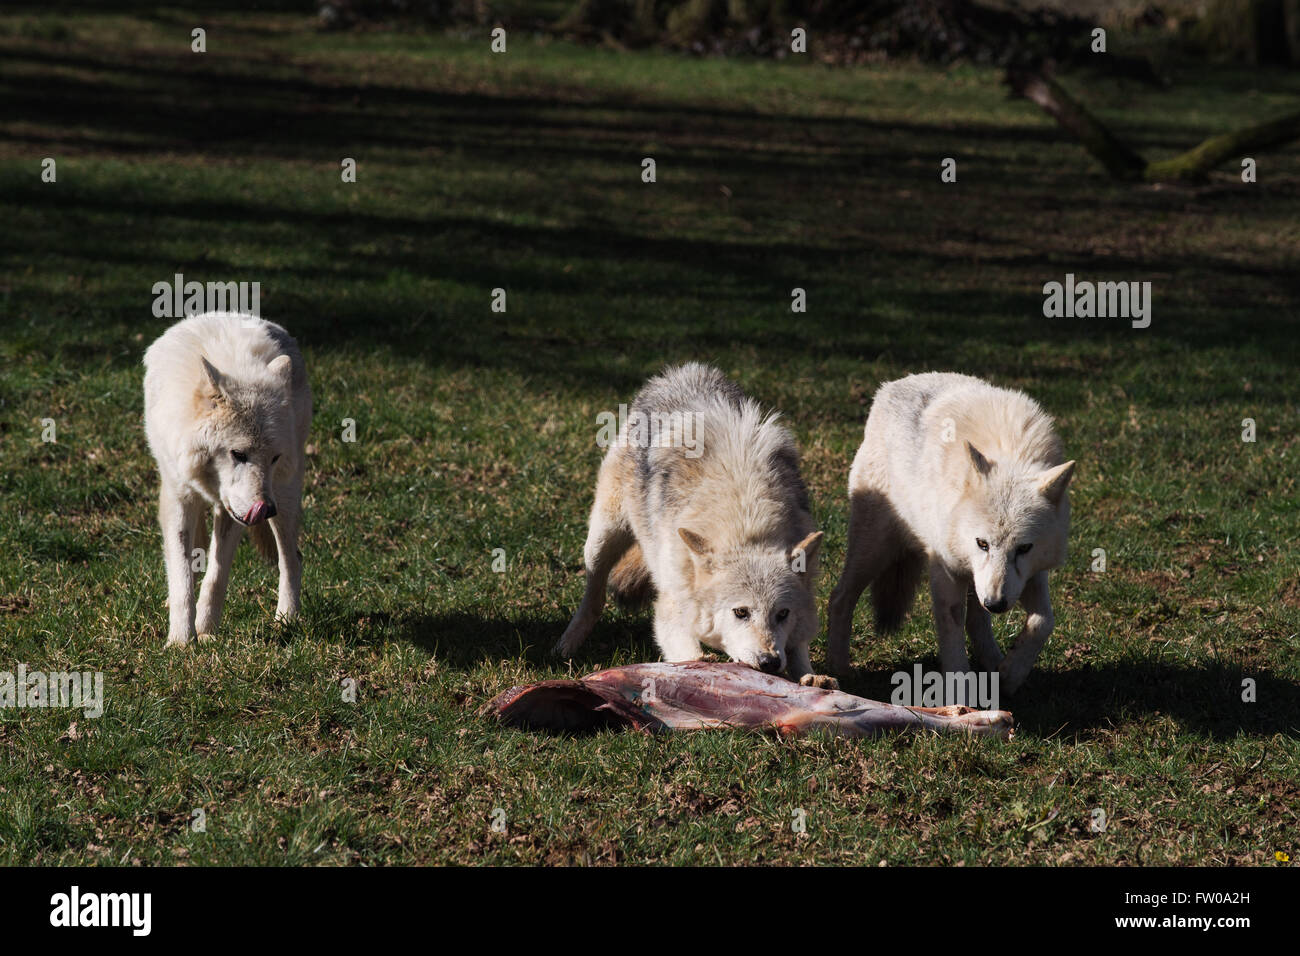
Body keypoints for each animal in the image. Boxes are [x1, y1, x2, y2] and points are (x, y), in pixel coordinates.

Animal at [143, 312, 312, 647]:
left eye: (273, 458)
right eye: (238, 454)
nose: (265, 509)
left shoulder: (234, 509)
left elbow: (217, 576)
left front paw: (205, 631)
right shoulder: (179, 494)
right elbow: (183, 575)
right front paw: (181, 641)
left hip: (285, 494)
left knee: (292, 558)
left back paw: (286, 620)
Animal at [554, 363, 833, 686]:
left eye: (783, 614)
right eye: (741, 612)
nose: (770, 663)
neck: (747, 521)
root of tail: (683, 372)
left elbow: (799, 648)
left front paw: (813, 678)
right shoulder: (671, 605)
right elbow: (684, 648)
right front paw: (699, 667)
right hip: (603, 539)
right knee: (594, 596)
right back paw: (567, 644)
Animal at [826, 372, 1074, 695]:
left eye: (1023, 548)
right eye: (983, 543)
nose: (996, 604)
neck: (1008, 449)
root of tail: (887, 387)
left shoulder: (1031, 573)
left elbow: (1044, 622)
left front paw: (1011, 674)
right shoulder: (947, 569)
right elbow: (953, 630)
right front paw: (961, 695)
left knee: (978, 621)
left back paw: (994, 664)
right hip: (874, 549)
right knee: (839, 597)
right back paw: (838, 668)